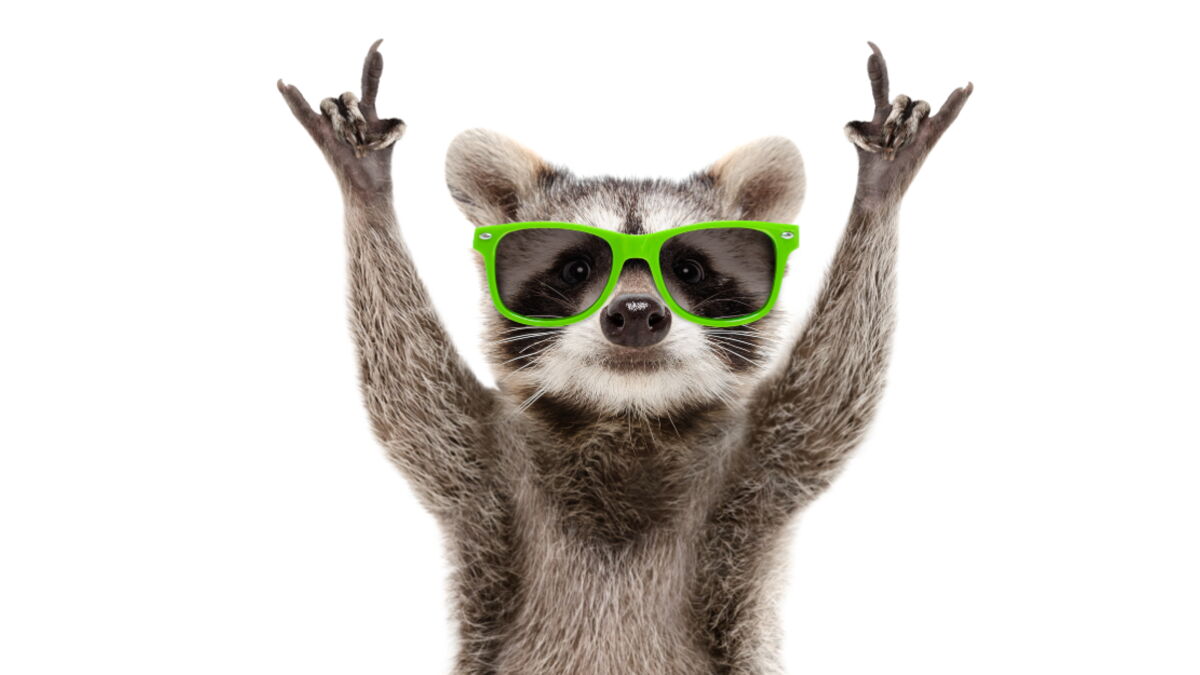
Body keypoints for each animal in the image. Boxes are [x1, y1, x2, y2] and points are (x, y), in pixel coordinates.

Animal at [278, 40, 971, 675]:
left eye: (688, 269)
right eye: (577, 268)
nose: (636, 315)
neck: (626, 417)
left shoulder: (757, 467)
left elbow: (831, 393)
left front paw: (878, 194)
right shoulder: (483, 467)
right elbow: (408, 391)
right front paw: (367, 192)